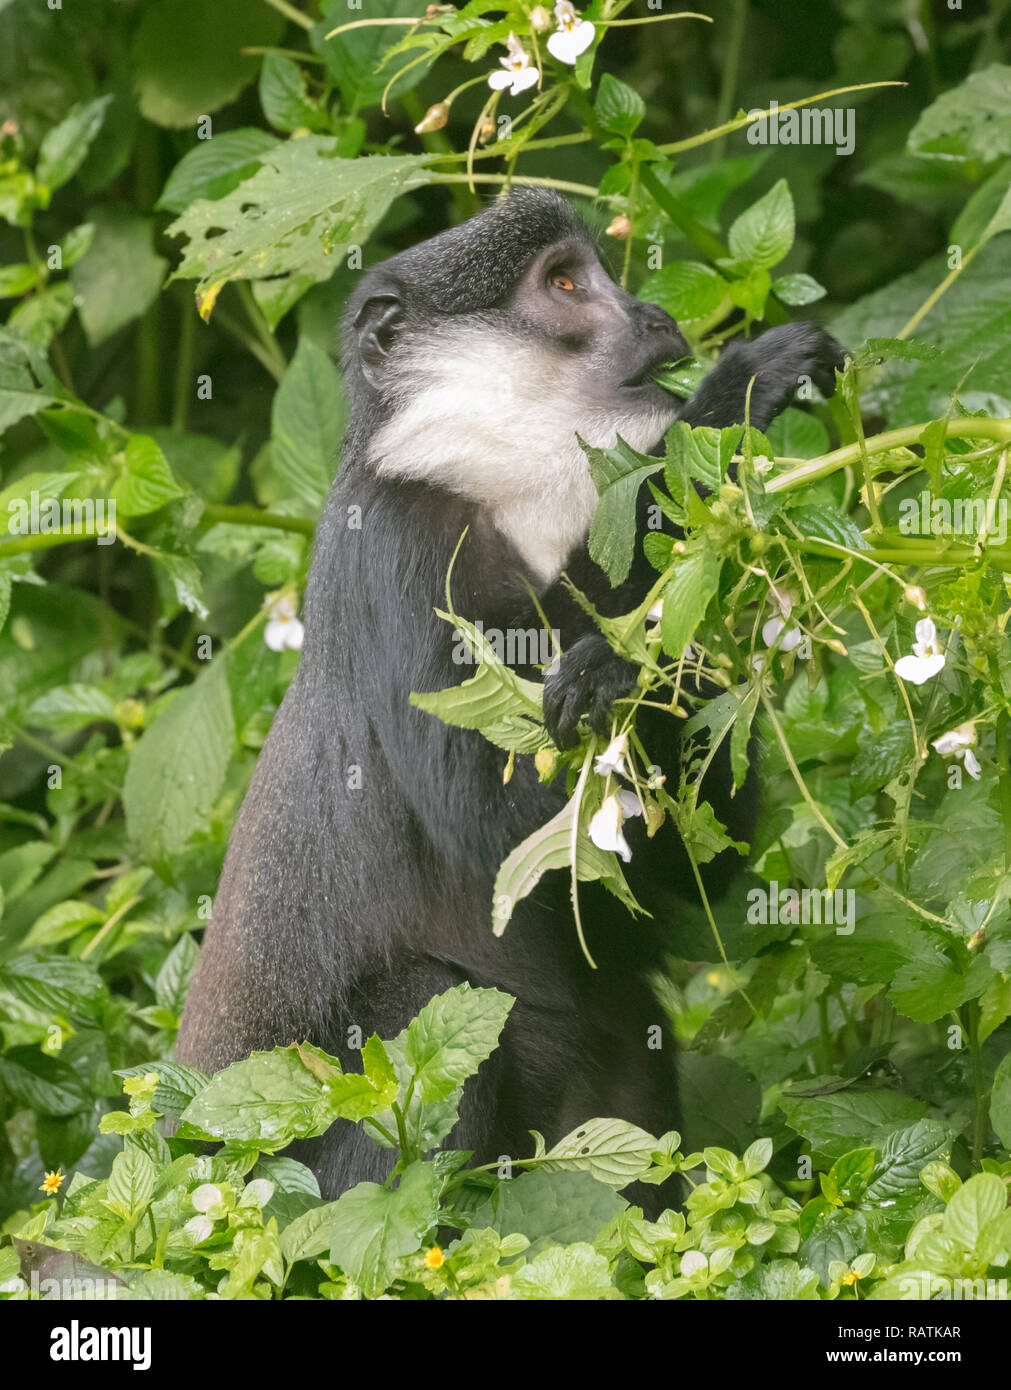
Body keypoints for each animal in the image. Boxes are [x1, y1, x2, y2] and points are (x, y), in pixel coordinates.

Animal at [176, 189, 843, 1209]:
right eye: (565, 285)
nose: (654, 318)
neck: (487, 474)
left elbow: (660, 877)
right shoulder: (406, 551)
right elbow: (503, 826)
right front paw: (726, 410)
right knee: (414, 1009)